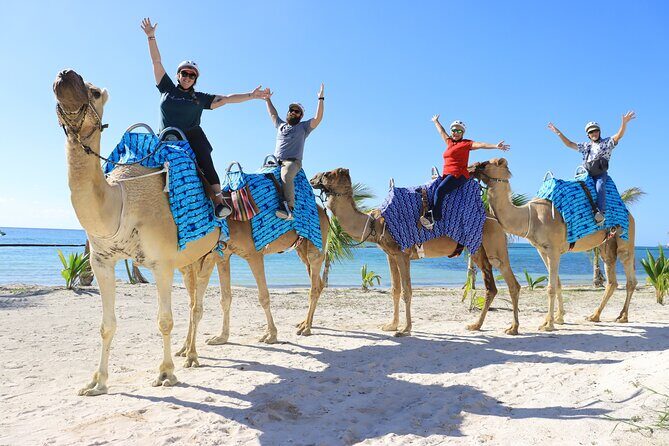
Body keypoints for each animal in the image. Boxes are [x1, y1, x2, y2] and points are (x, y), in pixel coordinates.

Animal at [54, 70, 328, 395]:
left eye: (94, 92)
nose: (65, 74)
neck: (121, 199)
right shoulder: (102, 261)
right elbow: (106, 325)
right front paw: (97, 383)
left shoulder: (163, 263)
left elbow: (165, 320)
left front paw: (166, 373)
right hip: (206, 256)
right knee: (200, 302)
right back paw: (192, 351)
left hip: (307, 246)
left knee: (309, 284)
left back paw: (301, 328)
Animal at [310, 168, 522, 336]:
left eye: (327, 174)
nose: (312, 178)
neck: (374, 223)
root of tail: (494, 217)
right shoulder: (390, 255)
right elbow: (395, 290)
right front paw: (391, 325)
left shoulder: (403, 254)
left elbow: (407, 290)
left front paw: (405, 329)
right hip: (483, 248)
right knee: (498, 285)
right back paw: (484, 326)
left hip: (488, 244)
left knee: (504, 282)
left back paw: (505, 327)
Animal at [472, 158, 637, 331]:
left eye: (489, 163)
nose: (472, 167)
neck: (530, 217)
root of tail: (629, 213)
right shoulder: (542, 250)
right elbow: (557, 284)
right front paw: (558, 318)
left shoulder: (553, 250)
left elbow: (550, 287)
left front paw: (548, 324)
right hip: (606, 244)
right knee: (611, 279)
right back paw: (595, 316)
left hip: (625, 237)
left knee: (629, 275)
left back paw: (623, 317)